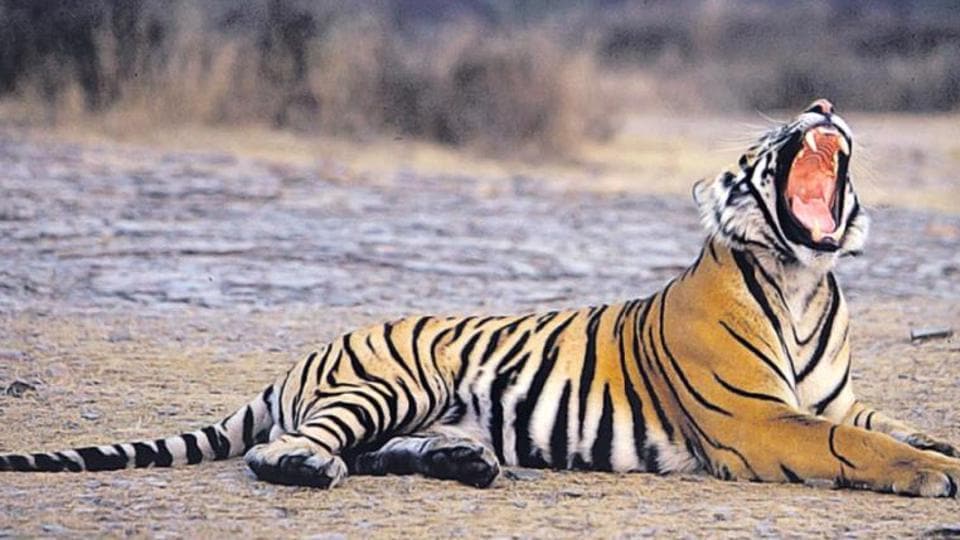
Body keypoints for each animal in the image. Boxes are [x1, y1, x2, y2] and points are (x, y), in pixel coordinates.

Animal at [2, 99, 958, 497]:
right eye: (764, 140)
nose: (822, 103)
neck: (803, 283)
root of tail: (306, 352)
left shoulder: (841, 403)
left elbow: (898, 427)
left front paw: (940, 451)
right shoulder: (759, 420)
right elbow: (862, 447)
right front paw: (937, 478)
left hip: (415, 408)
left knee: (378, 451)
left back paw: (464, 463)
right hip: (390, 383)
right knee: (287, 449)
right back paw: (317, 469)